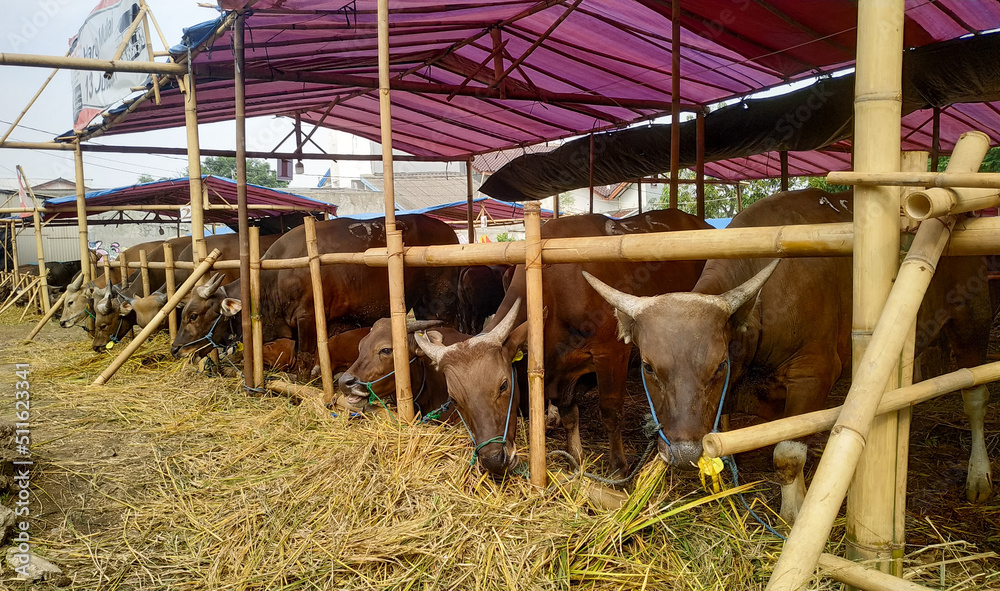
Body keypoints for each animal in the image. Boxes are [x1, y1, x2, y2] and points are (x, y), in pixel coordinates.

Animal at [171, 215, 462, 379]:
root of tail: (450, 232)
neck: (273, 279)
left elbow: (304, 361)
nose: (175, 349)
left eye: (193, 315)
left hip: (441, 303)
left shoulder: (308, 320)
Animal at [415, 210, 711, 477]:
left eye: (503, 385)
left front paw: (618, 469)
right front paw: (576, 458)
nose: (494, 460)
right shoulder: (563, 369)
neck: (554, 288)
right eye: (454, 399)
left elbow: (610, 411)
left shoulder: (612, 352)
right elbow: (570, 413)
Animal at [583, 188, 993, 525]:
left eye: (718, 365)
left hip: (972, 323)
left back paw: (979, 476)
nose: (684, 455)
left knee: (975, 397)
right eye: (649, 367)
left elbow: (788, 454)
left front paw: (793, 512)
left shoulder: (813, 373)